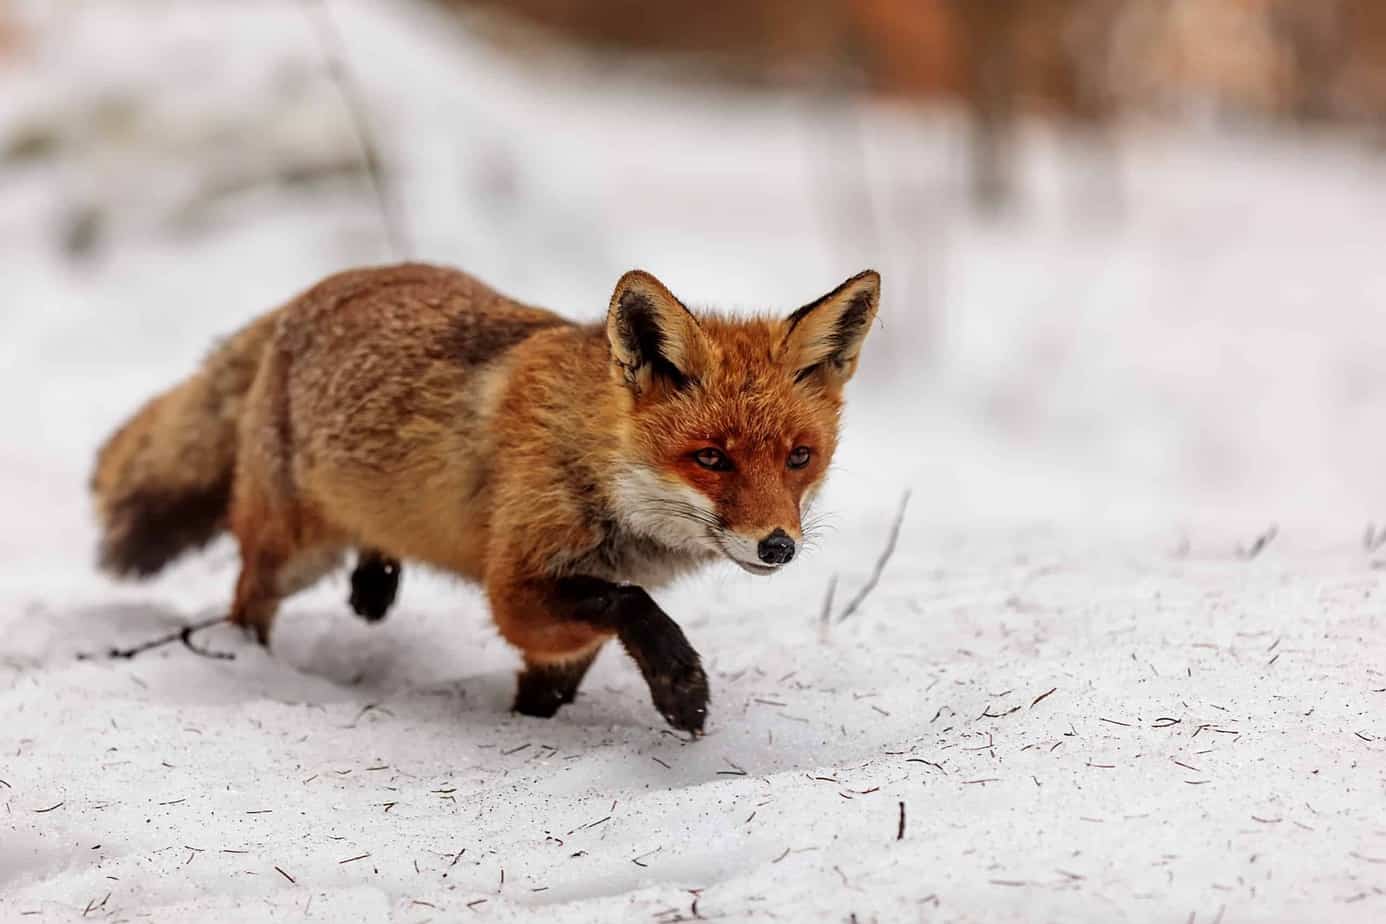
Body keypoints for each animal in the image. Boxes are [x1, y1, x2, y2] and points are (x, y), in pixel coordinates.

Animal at [90, 263, 880, 733]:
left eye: (799, 458)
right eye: (711, 458)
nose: (777, 546)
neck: (594, 462)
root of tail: (312, 292)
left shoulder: (564, 606)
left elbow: (558, 680)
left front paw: (531, 731)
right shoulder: (516, 587)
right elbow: (631, 606)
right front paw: (680, 686)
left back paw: (375, 583)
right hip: (291, 553)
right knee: (246, 602)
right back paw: (253, 665)